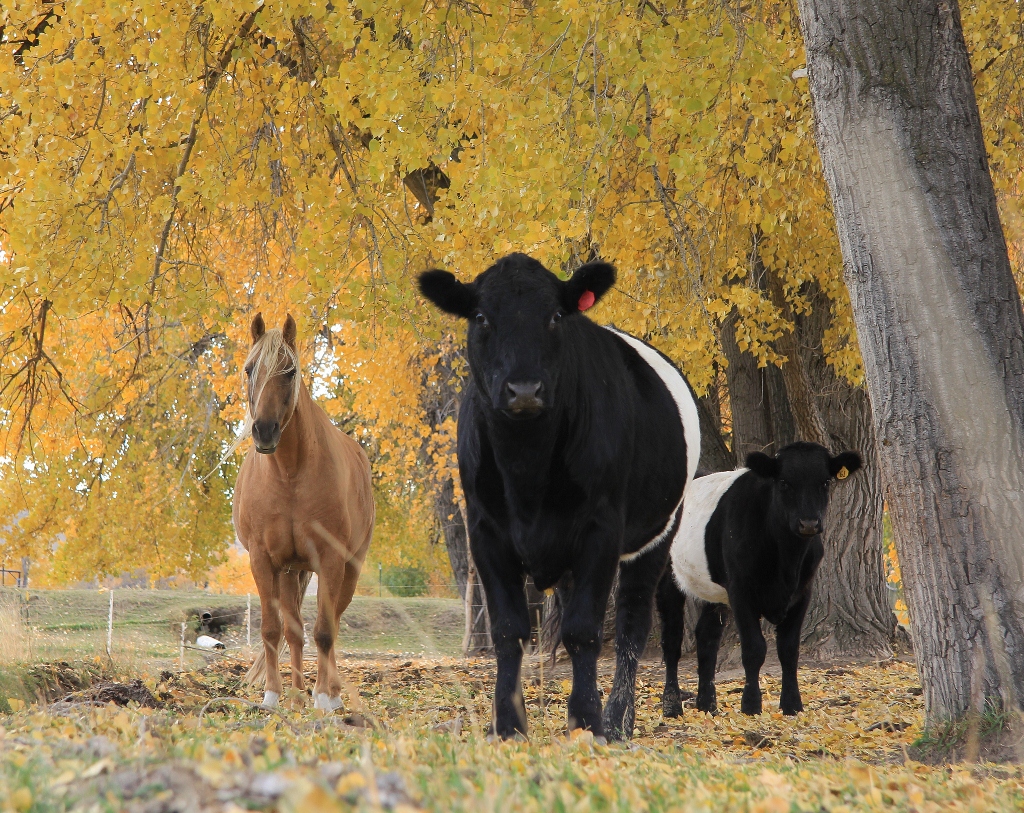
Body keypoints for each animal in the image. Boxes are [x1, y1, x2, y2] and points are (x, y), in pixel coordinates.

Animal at [418, 253, 701, 741]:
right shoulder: (485, 531)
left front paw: (587, 722)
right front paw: (508, 725)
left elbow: (585, 630)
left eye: (554, 316)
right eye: (480, 316)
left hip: (660, 531)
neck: (526, 470)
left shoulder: (601, 528)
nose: (524, 389)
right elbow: (509, 629)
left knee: (632, 622)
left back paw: (619, 721)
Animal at [656, 442, 862, 718]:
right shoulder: (740, 591)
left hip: (712, 590)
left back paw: (707, 705)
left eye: (826, 482)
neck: (786, 561)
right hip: (666, 579)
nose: (809, 523)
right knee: (672, 639)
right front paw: (751, 705)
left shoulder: (803, 592)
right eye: (784, 482)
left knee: (706, 637)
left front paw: (792, 705)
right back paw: (672, 705)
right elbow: (754, 648)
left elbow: (789, 649)